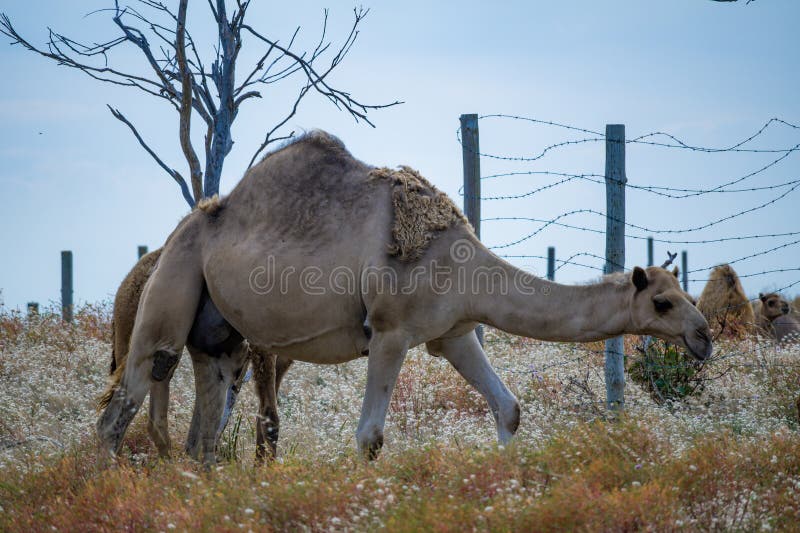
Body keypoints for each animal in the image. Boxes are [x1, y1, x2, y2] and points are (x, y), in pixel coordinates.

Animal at [96, 131, 712, 463]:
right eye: (662, 302)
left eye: (685, 292)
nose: (704, 337)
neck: (461, 263)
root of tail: (187, 227)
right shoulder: (390, 332)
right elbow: (370, 437)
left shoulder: (453, 332)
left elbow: (508, 408)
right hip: (172, 286)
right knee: (125, 402)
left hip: (220, 335)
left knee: (201, 432)